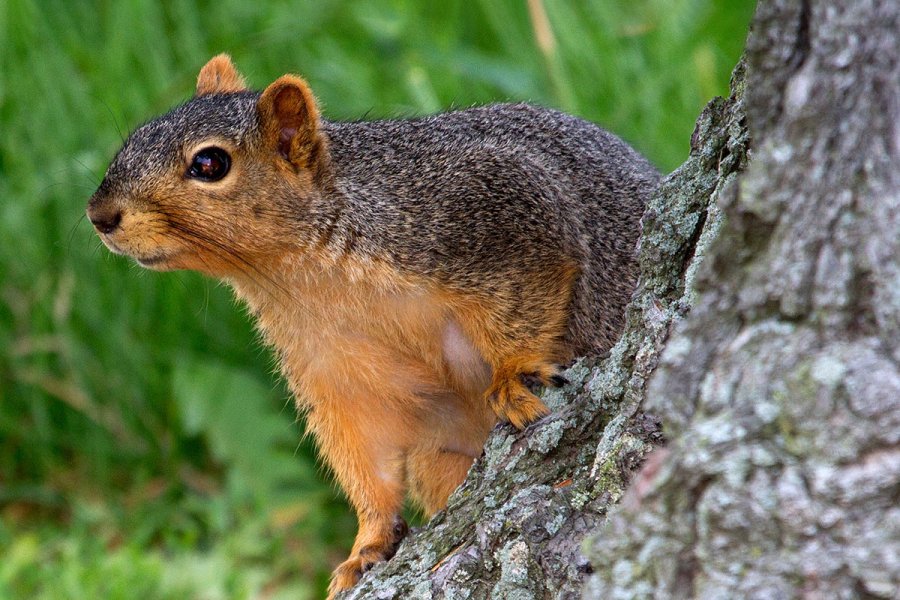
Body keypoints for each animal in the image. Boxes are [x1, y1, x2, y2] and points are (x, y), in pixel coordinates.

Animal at [86, 54, 660, 597]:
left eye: (210, 163)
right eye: (134, 137)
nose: (99, 214)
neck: (299, 277)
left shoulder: (499, 214)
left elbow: (533, 293)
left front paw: (514, 376)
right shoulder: (333, 367)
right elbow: (366, 454)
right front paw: (368, 544)